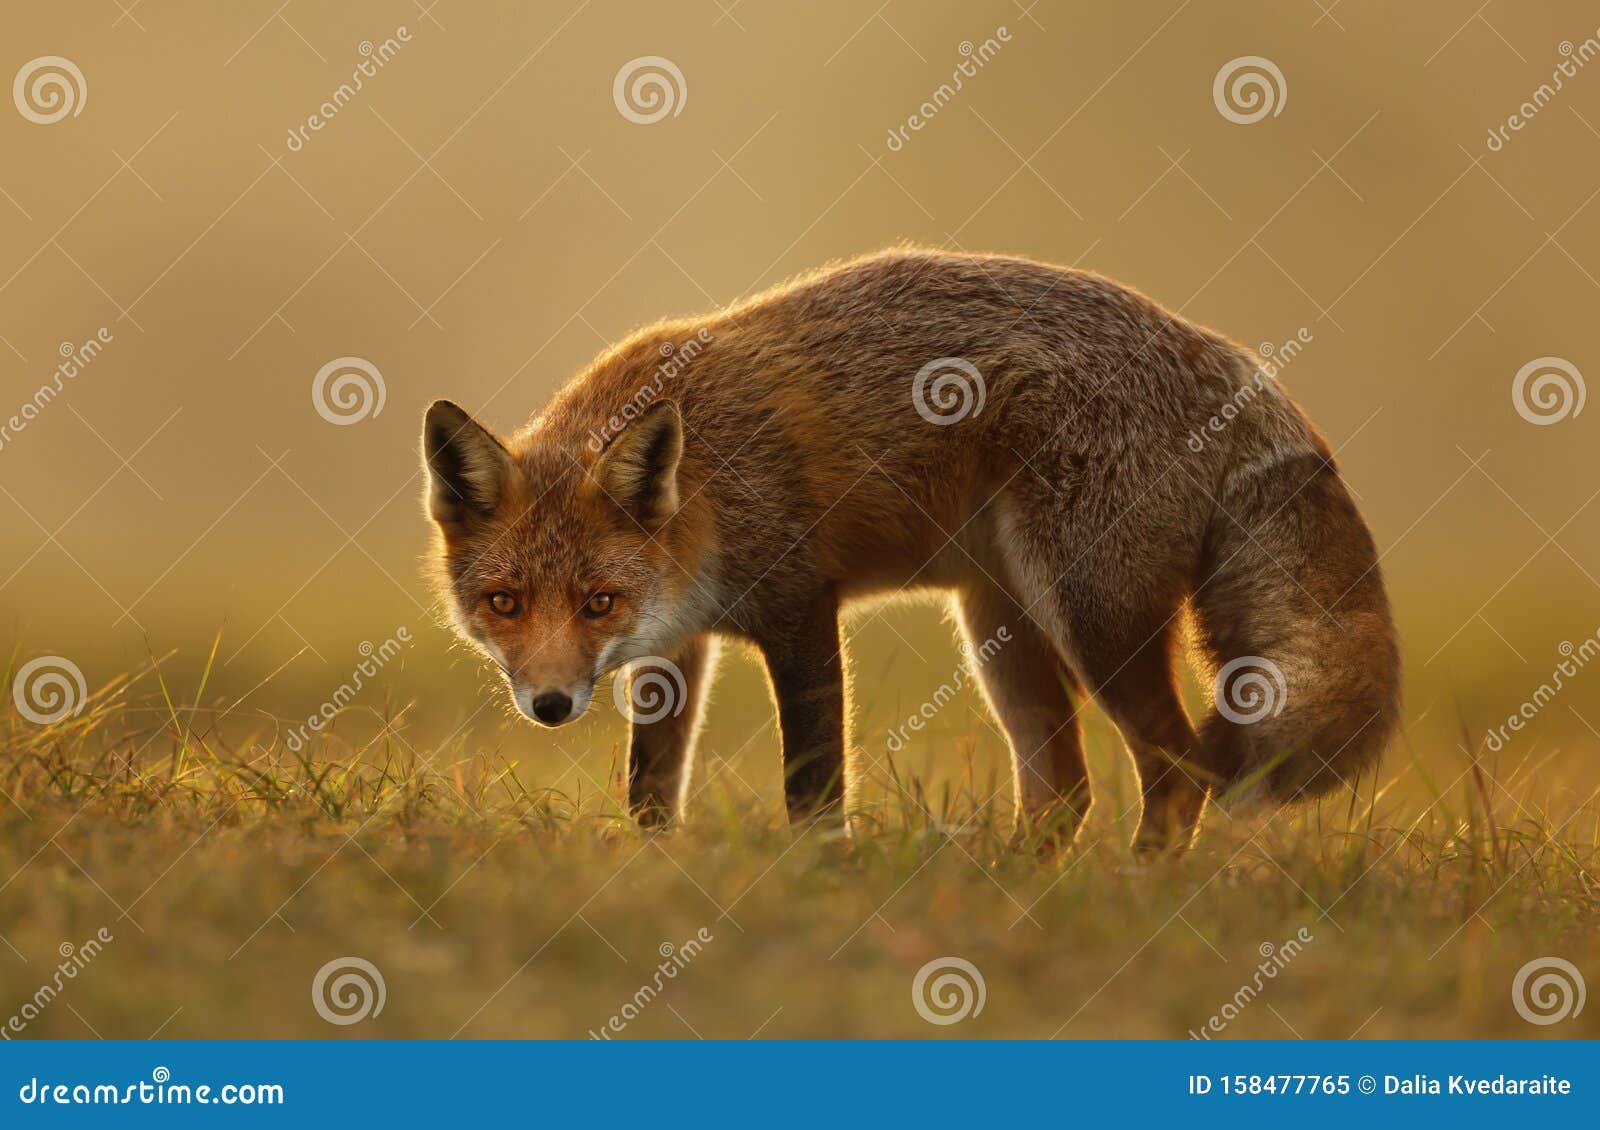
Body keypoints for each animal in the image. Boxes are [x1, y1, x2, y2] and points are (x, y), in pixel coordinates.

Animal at [421, 247, 1400, 849]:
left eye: (598, 603)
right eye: (505, 603)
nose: (550, 706)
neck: (706, 492)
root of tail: (1226, 356)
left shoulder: (800, 608)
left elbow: (813, 788)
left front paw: (817, 877)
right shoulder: (677, 646)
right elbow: (650, 793)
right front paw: (654, 868)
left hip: (1090, 618)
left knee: (1179, 768)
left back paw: (1137, 889)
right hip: (999, 626)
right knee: (1064, 792)